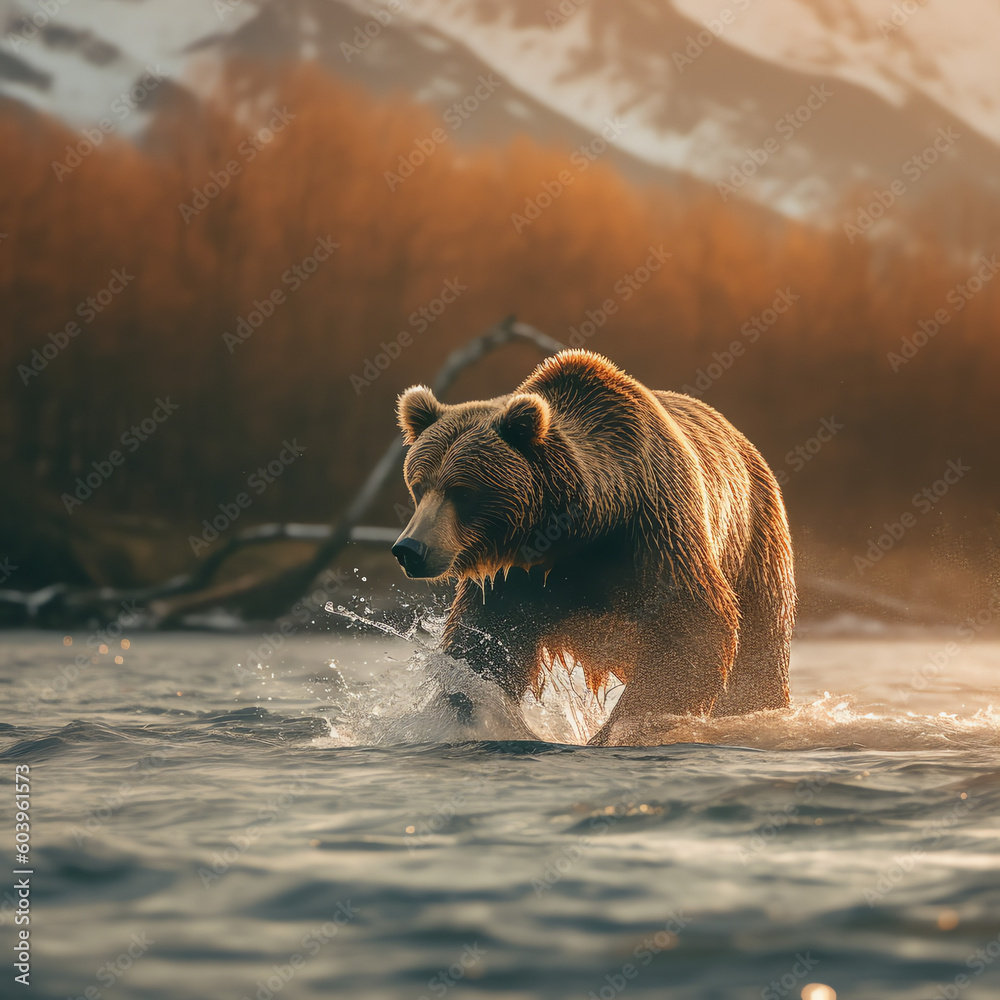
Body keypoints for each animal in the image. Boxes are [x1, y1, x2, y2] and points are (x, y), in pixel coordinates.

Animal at [392, 349, 795, 746]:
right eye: (419, 485)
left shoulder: (655, 529)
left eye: (462, 491)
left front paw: (621, 729)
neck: (586, 525)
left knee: (760, 644)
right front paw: (465, 711)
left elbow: (692, 623)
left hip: (754, 537)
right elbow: (483, 641)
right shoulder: (518, 573)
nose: (410, 549)